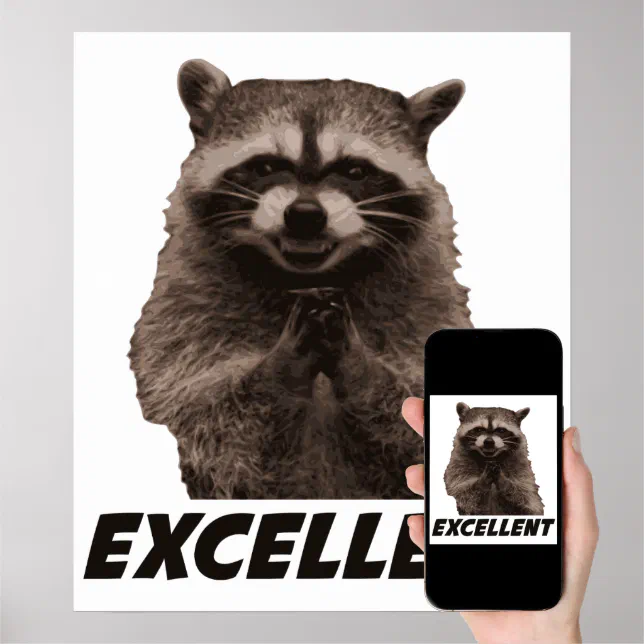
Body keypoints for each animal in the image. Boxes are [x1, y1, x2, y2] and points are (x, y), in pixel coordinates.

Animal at [129, 58, 472, 499]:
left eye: (355, 170)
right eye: (266, 166)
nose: (305, 214)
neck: (303, 276)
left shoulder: (428, 300)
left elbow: (410, 424)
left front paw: (361, 366)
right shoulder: (183, 306)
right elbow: (204, 420)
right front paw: (280, 368)